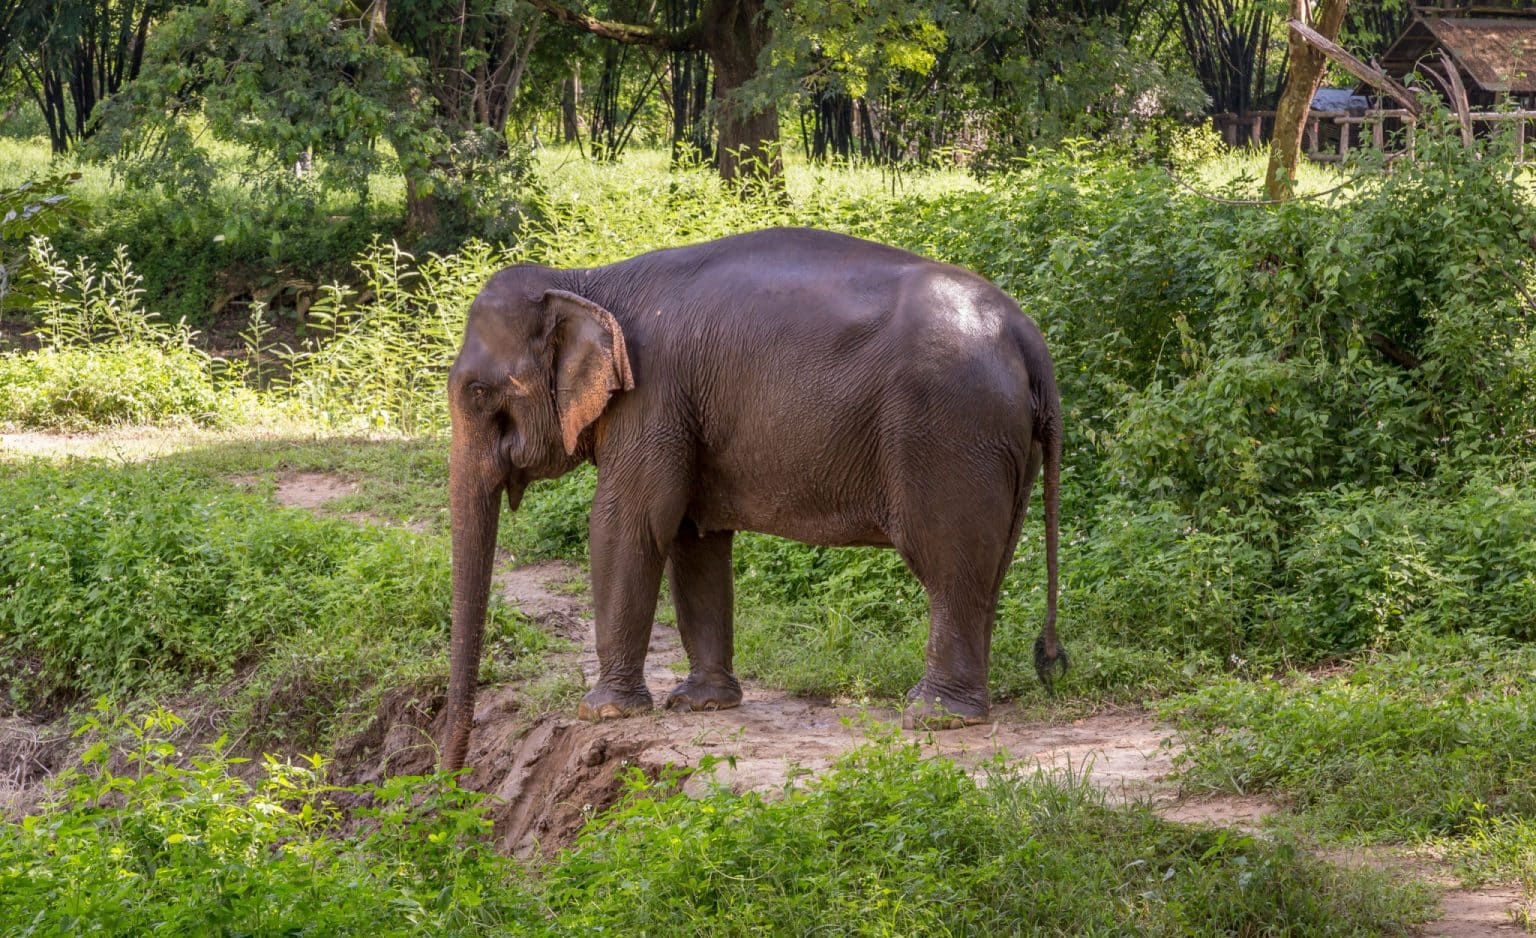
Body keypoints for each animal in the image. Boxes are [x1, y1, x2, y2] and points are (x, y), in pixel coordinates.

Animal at [440, 227, 1064, 773]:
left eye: (478, 391)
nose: (448, 786)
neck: (589, 280)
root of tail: (1028, 337)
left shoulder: (653, 397)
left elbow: (627, 524)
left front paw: (604, 712)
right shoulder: (683, 412)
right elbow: (693, 538)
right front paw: (702, 704)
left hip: (950, 433)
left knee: (947, 562)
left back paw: (935, 717)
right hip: (1001, 446)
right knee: (987, 569)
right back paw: (960, 706)